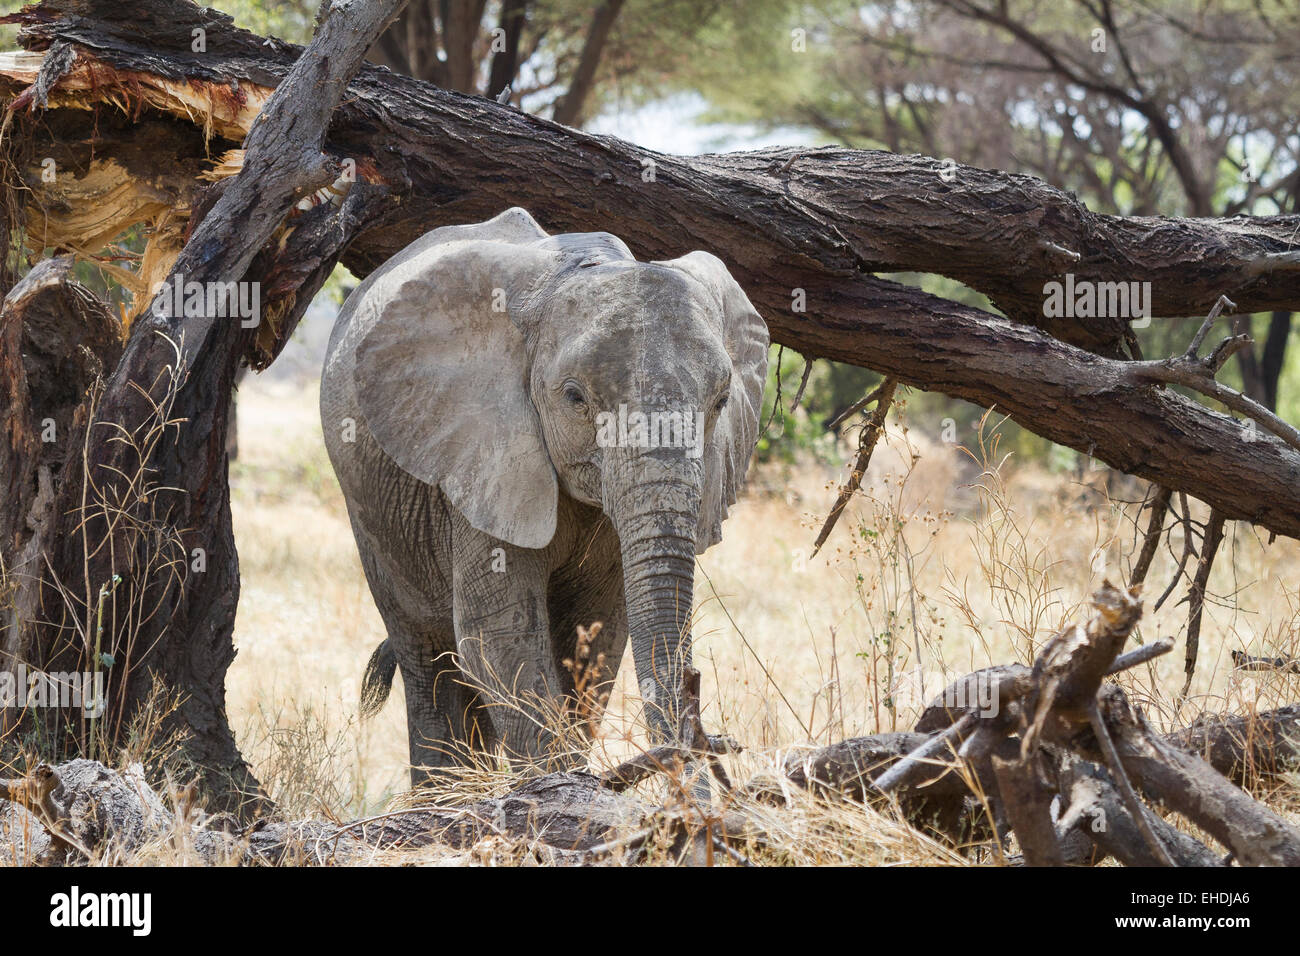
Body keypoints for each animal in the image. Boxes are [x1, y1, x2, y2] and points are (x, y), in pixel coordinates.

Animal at [320, 207, 768, 785]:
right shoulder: (481, 455)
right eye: (575, 398)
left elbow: (598, 635)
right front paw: (558, 786)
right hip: (372, 515)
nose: (710, 750)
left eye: (721, 401)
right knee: (425, 652)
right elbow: (499, 633)